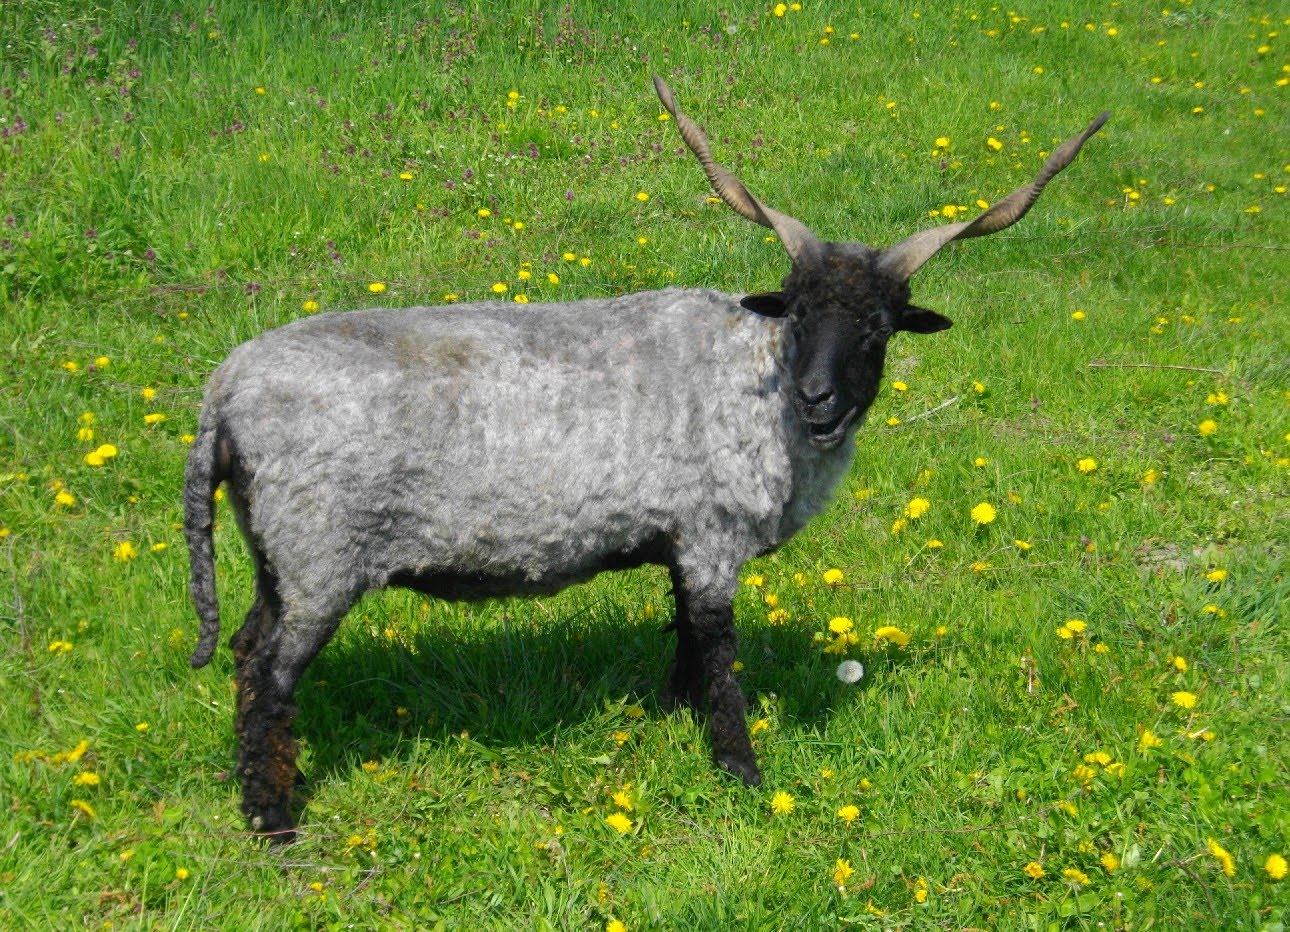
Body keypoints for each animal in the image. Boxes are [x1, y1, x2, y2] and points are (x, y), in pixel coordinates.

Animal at [185, 76, 1108, 842]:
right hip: (320, 554)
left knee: (245, 646)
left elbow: (685, 642)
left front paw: (669, 719)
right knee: (269, 674)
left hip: (276, 553)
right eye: (797, 311)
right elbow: (719, 656)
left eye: (880, 327)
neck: (757, 377)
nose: (819, 400)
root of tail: (222, 392)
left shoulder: (681, 539)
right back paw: (273, 823)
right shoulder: (711, 538)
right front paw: (741, 772)